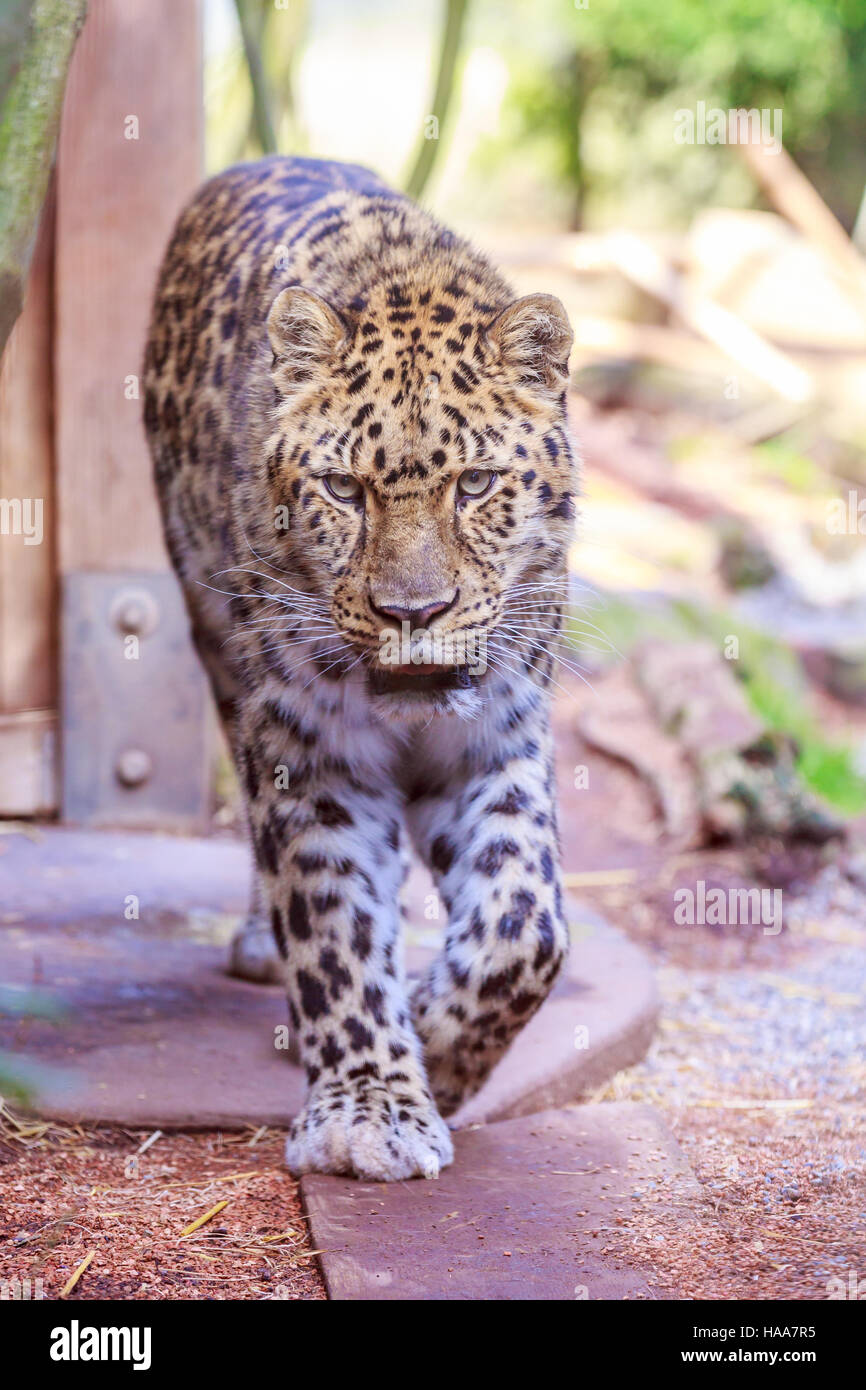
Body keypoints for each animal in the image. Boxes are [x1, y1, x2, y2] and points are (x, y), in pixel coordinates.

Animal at [143, 155, 578, 1182]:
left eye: (476, 485)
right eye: (344, 490)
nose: (410, 614)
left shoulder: (498, 738)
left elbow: (526, 925)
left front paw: (442, 1049)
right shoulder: (310, 753)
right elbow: (332, 920)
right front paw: (369, 1107)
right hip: (217, 647)